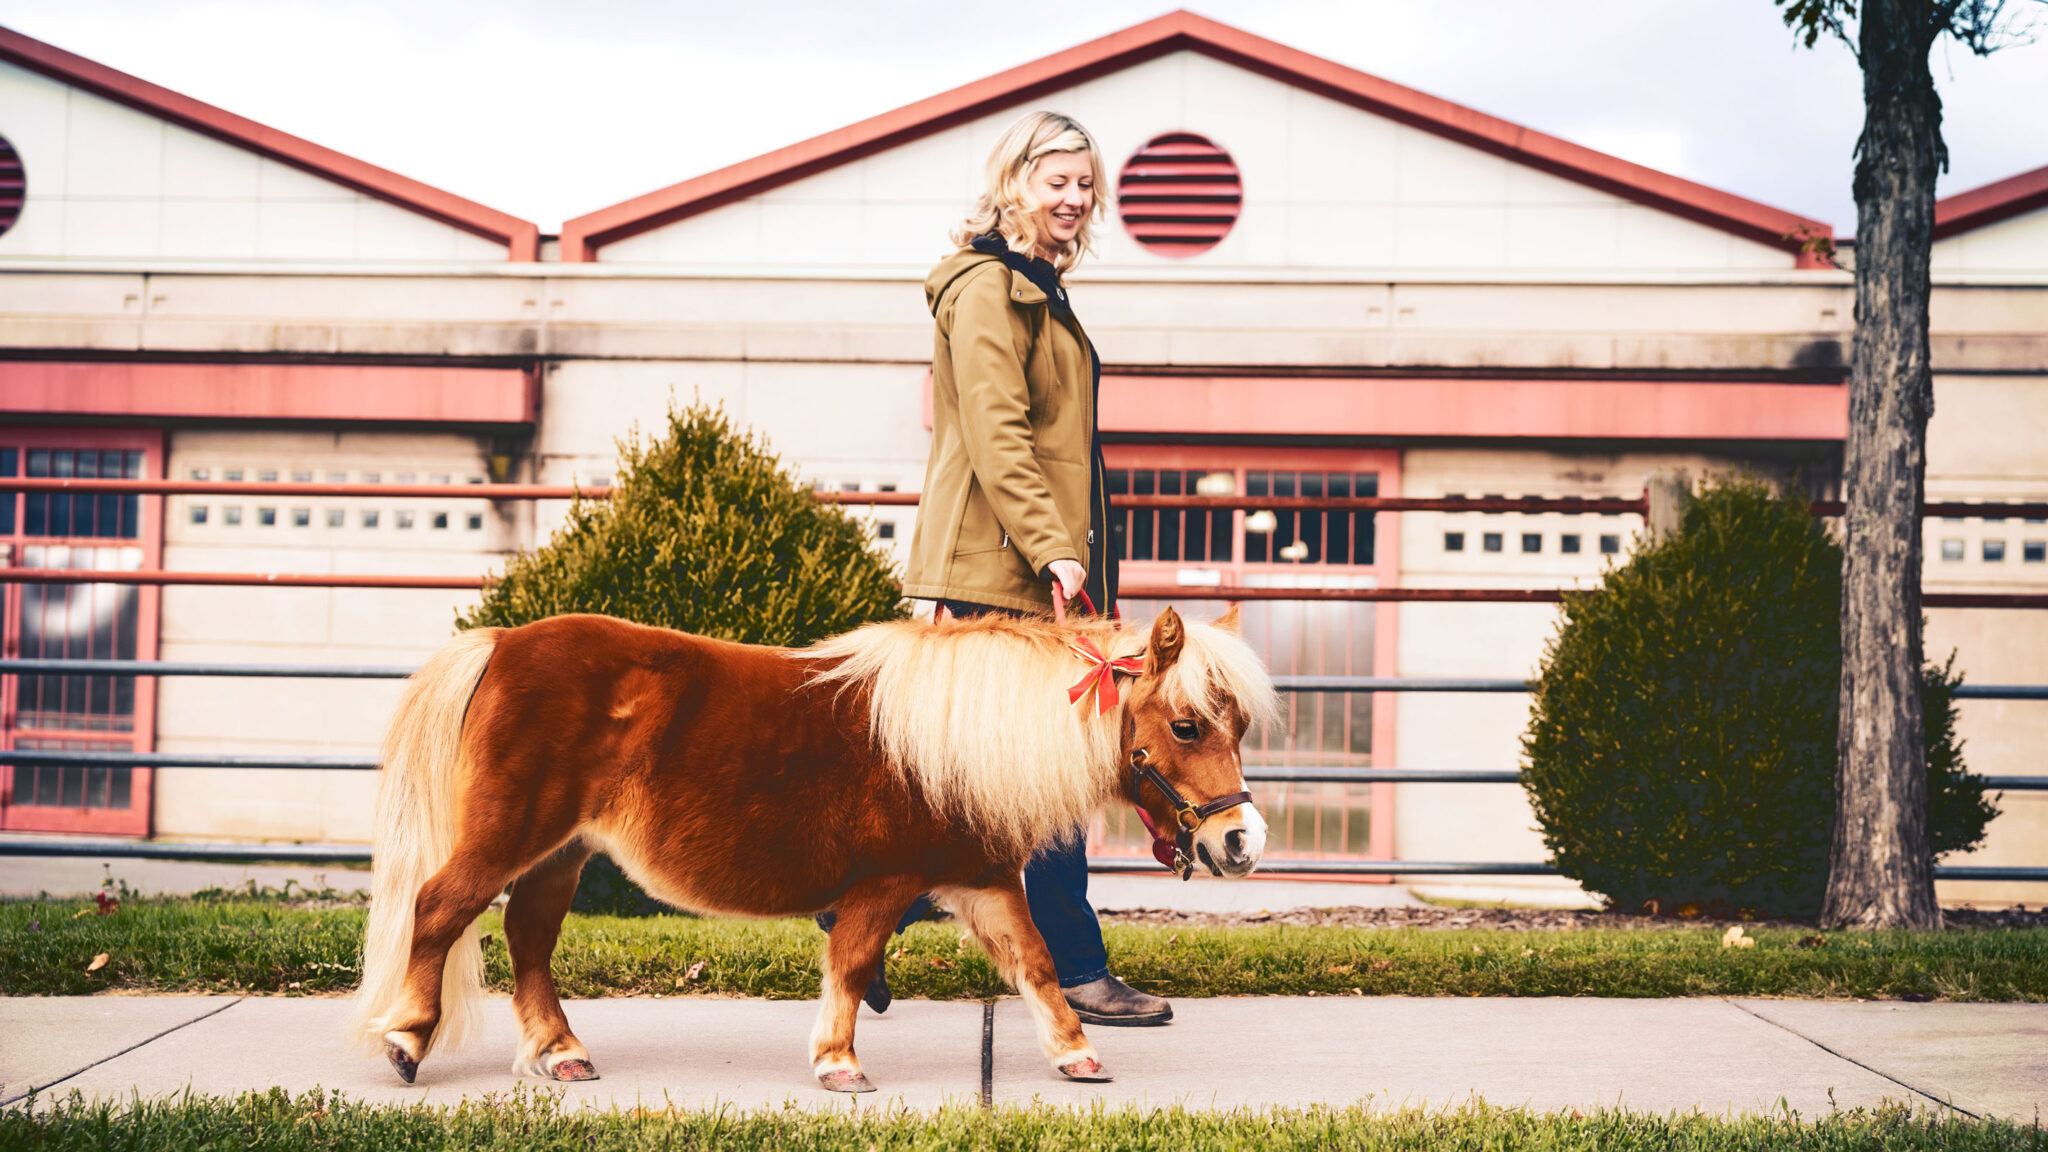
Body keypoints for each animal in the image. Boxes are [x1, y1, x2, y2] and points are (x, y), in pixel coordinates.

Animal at [346, 604, 1278, 1093]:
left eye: (1236, 724)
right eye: (1187, 725)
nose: (1241, 841)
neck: (954, 743)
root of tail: (501, 642)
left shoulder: (981, 881)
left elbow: (1037, 963)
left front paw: (1076, 1052)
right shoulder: (886, 883)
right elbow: (855, 963)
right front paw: (838, 1062)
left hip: (559, 853)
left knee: (529, 941)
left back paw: (562, 1052)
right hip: (511, 838)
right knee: (440, 909)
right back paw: (408, 1040)